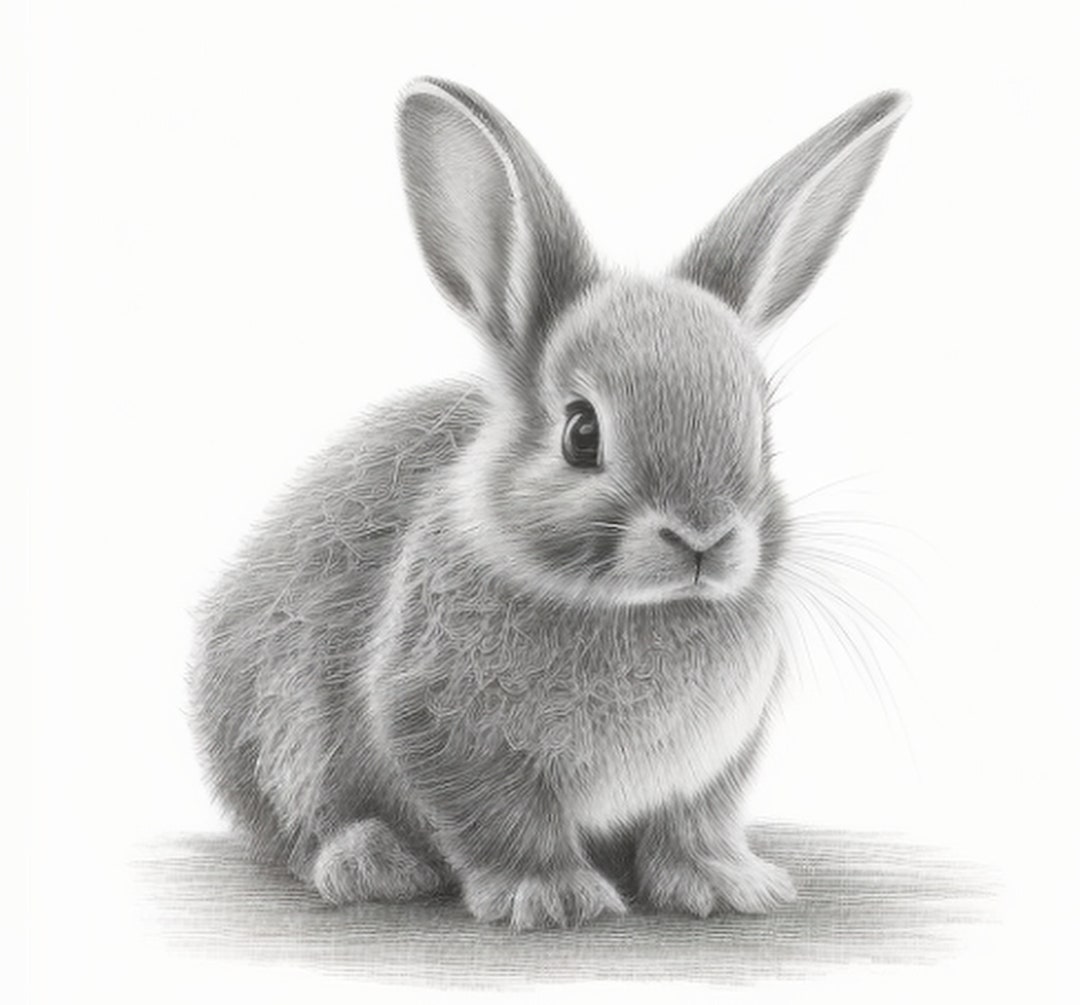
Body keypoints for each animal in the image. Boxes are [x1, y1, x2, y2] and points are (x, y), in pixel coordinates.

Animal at [190, 77, 909, 930]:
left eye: (763, 430)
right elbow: (504, 822)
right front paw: (552, 894)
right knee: (300, 824)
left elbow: (693, 823)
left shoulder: (716, 763)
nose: (704, 536)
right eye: (580, 432)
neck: (637, 607)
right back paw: (371, 861)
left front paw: (725, 883)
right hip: (282, 728)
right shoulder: (443, 730)